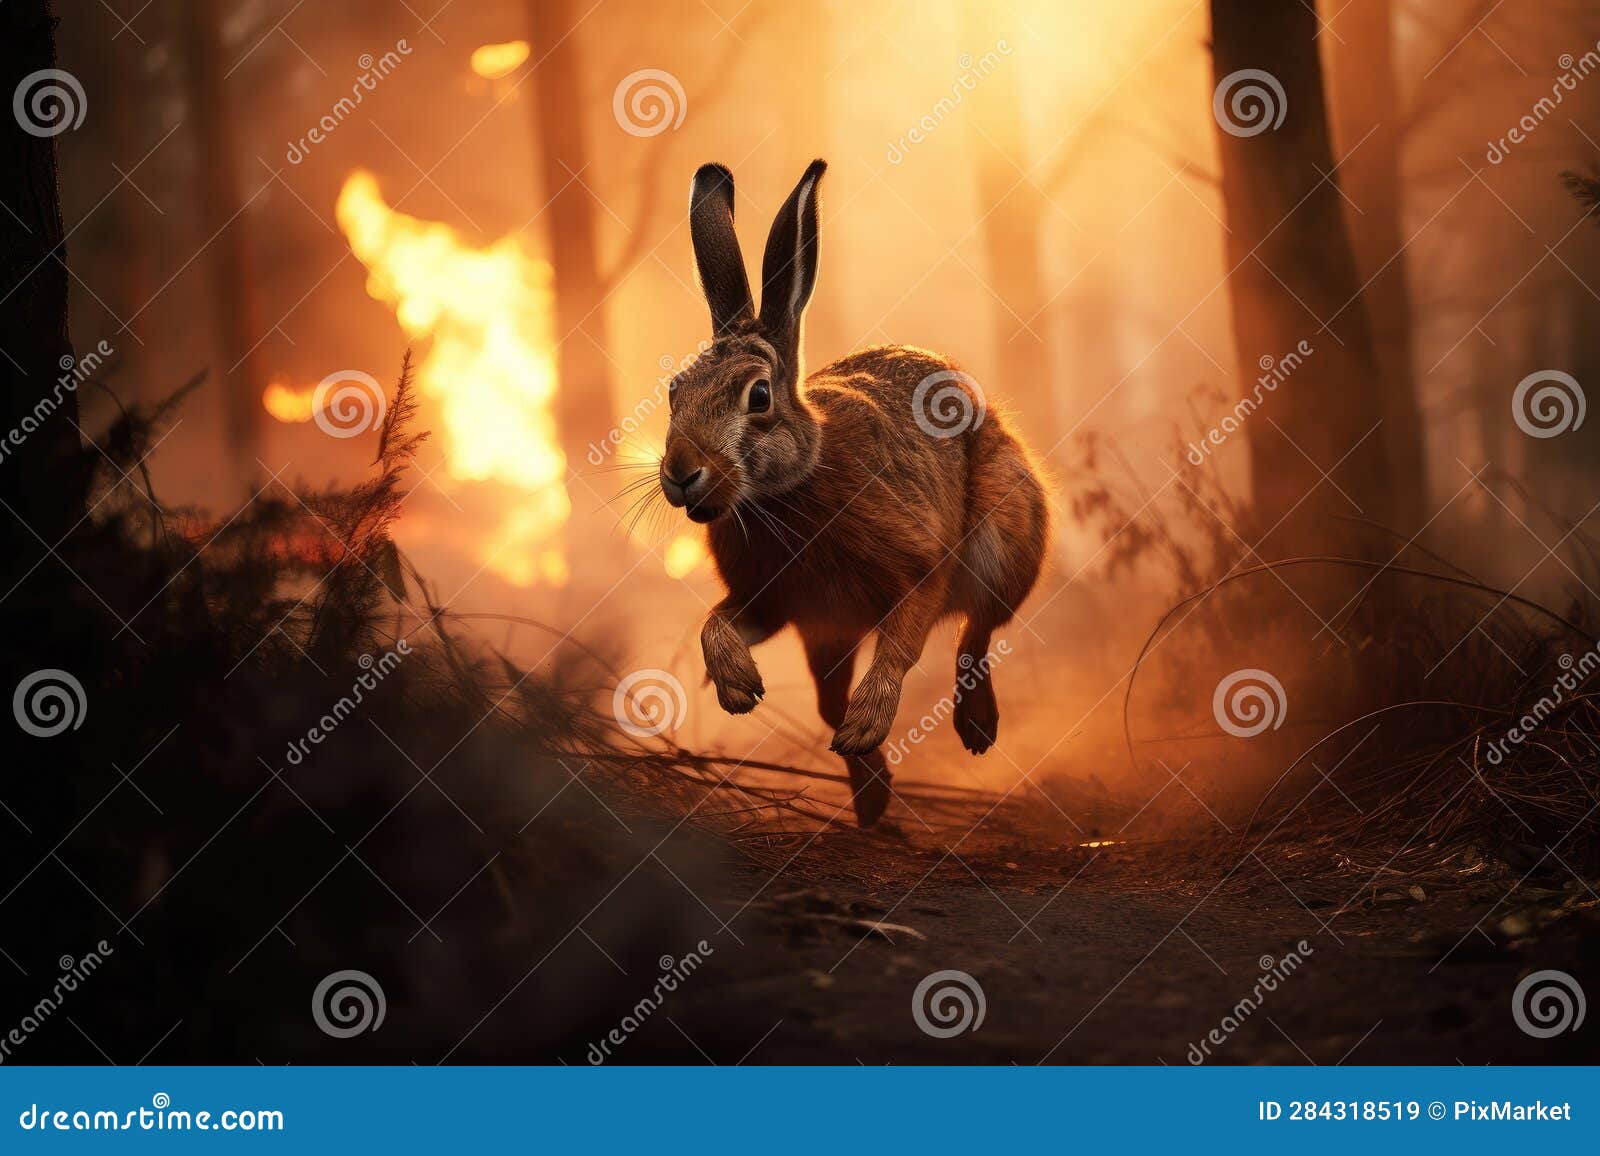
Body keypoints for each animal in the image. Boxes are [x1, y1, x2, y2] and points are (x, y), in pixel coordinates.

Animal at [658, 159, 1049, 827]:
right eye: (672, 392)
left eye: (757, 396)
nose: (682, 473)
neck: (785, 491)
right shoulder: (776, 604)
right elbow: (715, 623)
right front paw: (738, 688)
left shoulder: (919, 571)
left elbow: (899, 647)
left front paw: (869, 723)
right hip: (828, 636)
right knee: (828, 700)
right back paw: (870, 801)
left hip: (1004, 534)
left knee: (977, 632)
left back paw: (972, 731)